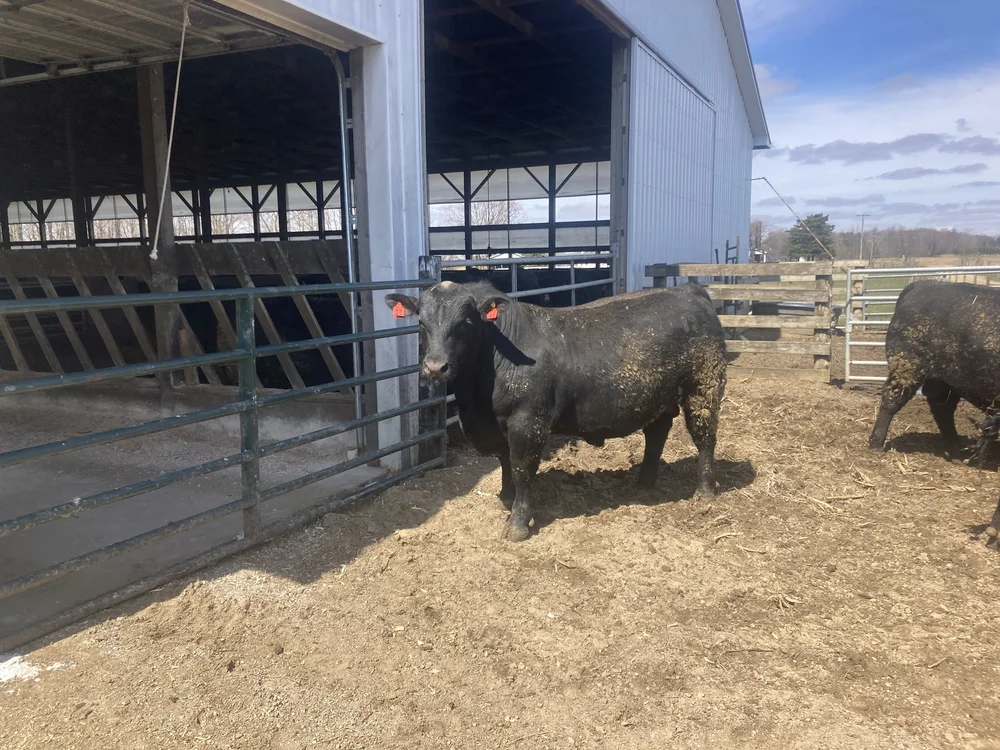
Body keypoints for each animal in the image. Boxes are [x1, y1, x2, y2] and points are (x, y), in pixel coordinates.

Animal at [386, 280, 727, 542]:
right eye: (421, 323)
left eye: (465, 323)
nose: (435, 367)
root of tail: (689, 290)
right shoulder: (498, 426)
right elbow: (505, 464)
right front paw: (506, 497)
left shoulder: (528, 423)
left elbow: (522, 469)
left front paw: (518, 523)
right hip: (659, 398)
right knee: (656, 434)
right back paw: (644, 483)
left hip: (703, 388)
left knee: (705, 437)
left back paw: (705, 491)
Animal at [869, 280, 1000, 459]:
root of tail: (922, 284)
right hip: (908, 368)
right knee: (892, 398)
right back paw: (876, 444)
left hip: (947, 380)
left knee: (942, 407)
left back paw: (956, 451)